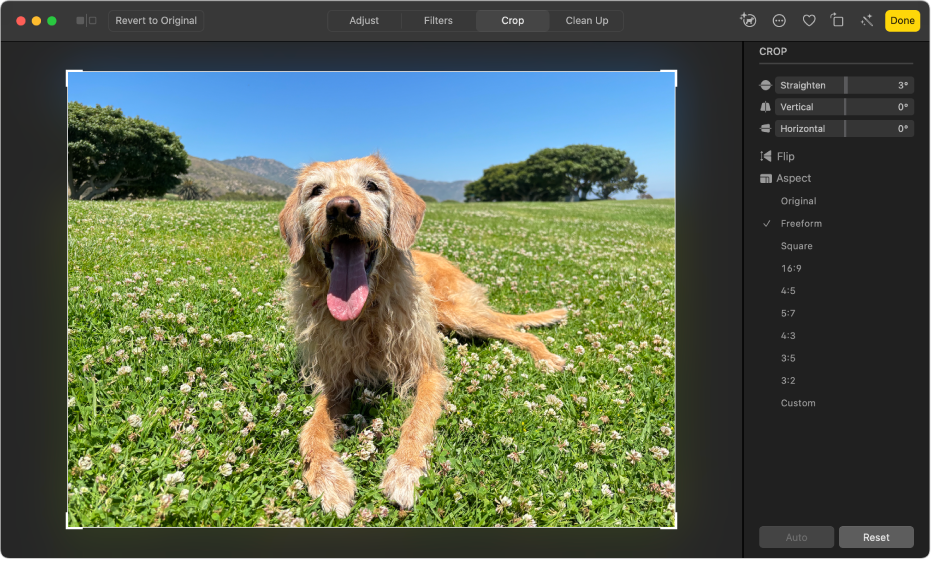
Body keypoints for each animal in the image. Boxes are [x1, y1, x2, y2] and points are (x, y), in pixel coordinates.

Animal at [276, 155, 568, 516]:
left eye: (372, 185)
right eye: (316, 190)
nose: (342, 208)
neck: (366, 312)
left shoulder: (427, 368)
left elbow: (418, 419)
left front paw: (406, 469)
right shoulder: (336, 382)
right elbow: (312, 429)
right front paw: (326, 474)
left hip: (457, 314)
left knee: (517, 332)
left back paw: (545, 357)